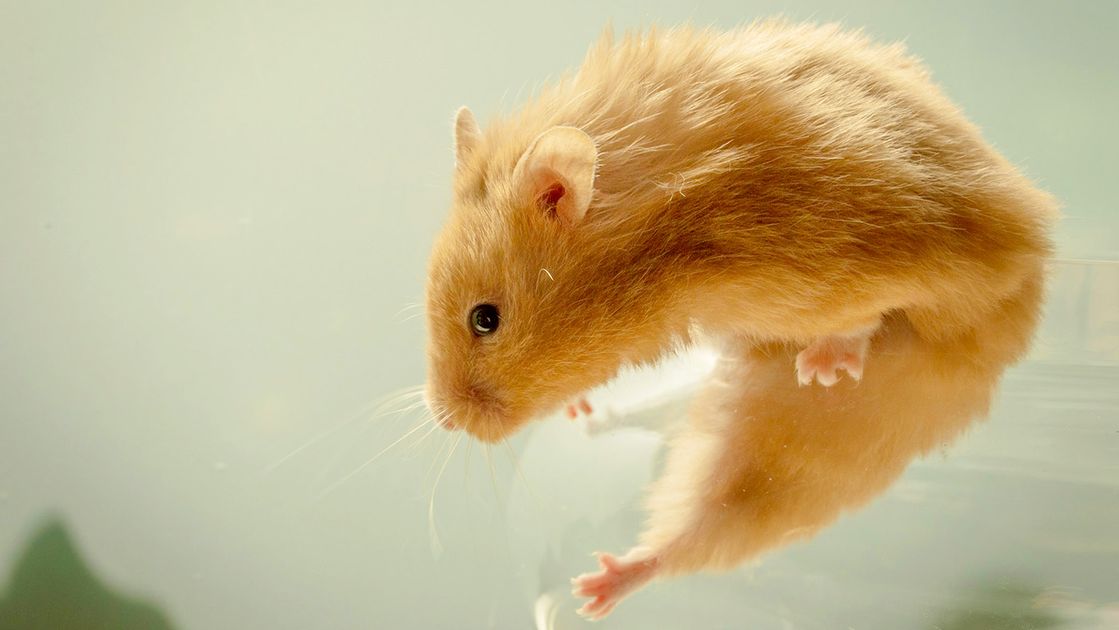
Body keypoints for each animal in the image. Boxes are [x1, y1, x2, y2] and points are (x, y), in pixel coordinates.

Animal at [424, 21, 1055, 620]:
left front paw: (825, 367)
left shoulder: (853, 265)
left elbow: (866, 314)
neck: (664, 247)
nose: (447, 420)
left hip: (818, 434)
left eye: (485, 319)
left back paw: (598, 587)